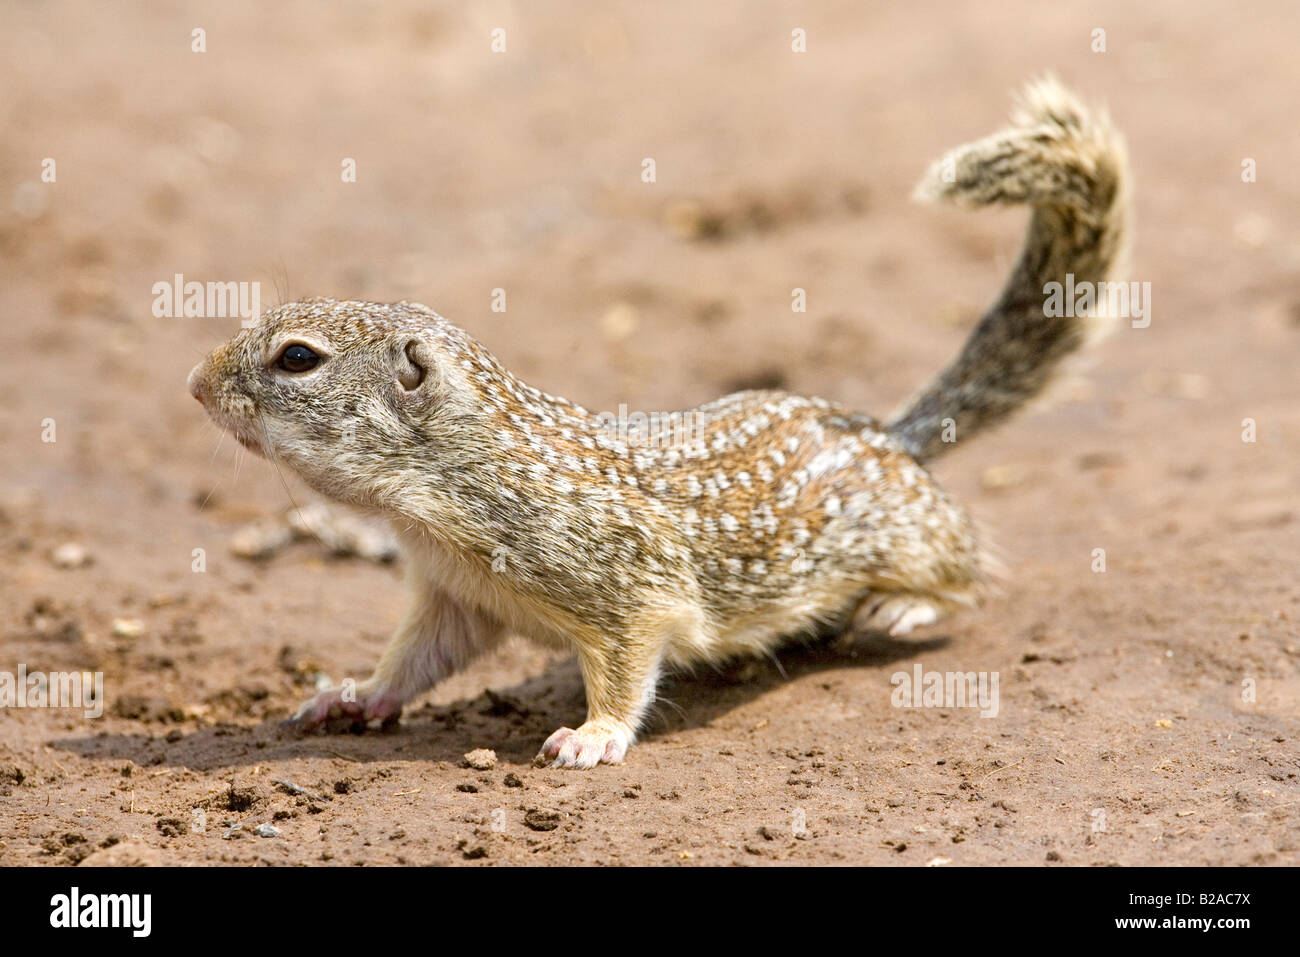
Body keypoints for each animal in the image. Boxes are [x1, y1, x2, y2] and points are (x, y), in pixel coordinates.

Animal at [188, 78, 1128, 768]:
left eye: (297, 358)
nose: (194, 383)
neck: (449, 483)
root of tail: (891, 434)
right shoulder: (456, 595)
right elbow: (417, 661)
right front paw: (350, 694)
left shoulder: (620, 586)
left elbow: (626, 664)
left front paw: (593, 736)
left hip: (909, 534)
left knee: (965, 570)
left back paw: (903, 607)